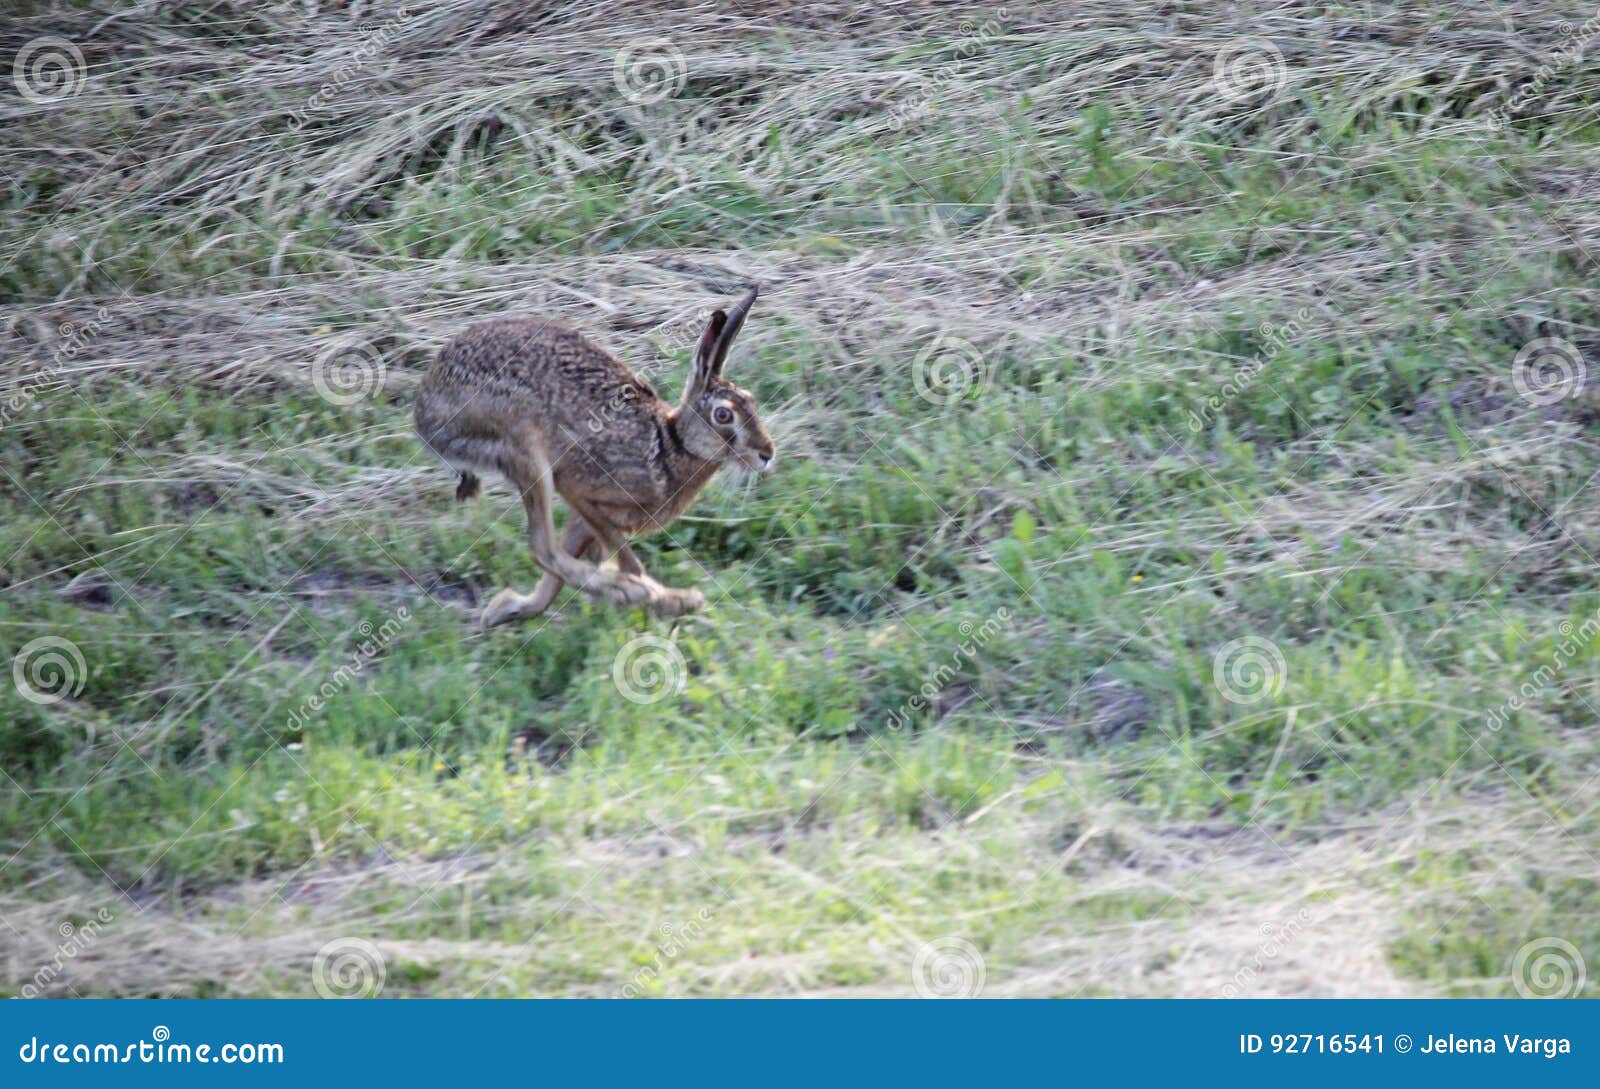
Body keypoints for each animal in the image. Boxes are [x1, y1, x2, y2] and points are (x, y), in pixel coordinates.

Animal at [414, 286, 775, 628]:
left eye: (752, 401)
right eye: (723, 415)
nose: (767, 454)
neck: (671, 443)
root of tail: (424, 411)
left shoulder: (587, 519)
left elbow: (563, 572)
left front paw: (513, 609)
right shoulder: (579, 488)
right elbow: (625, 560)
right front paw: (659, 598)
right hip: (523, 442)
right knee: (542, 548)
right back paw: (641, 593)